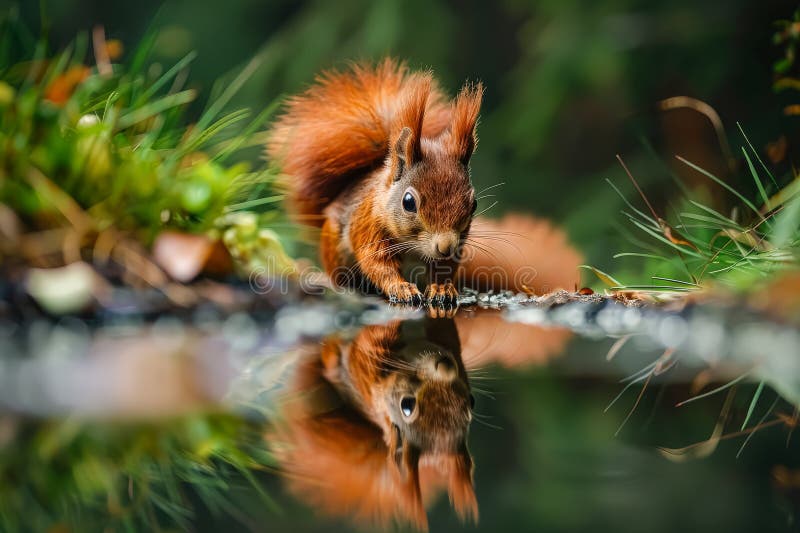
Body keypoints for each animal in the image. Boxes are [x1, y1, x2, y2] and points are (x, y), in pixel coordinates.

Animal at [267, 59, 483, 303]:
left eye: (474, 205)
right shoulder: (368, 227)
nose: (446, 246)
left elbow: (443, 268)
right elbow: (378, 264)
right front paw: (401, 288)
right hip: (334, 247)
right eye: (408, 202)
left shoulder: (457, 243)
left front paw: (442, 288)